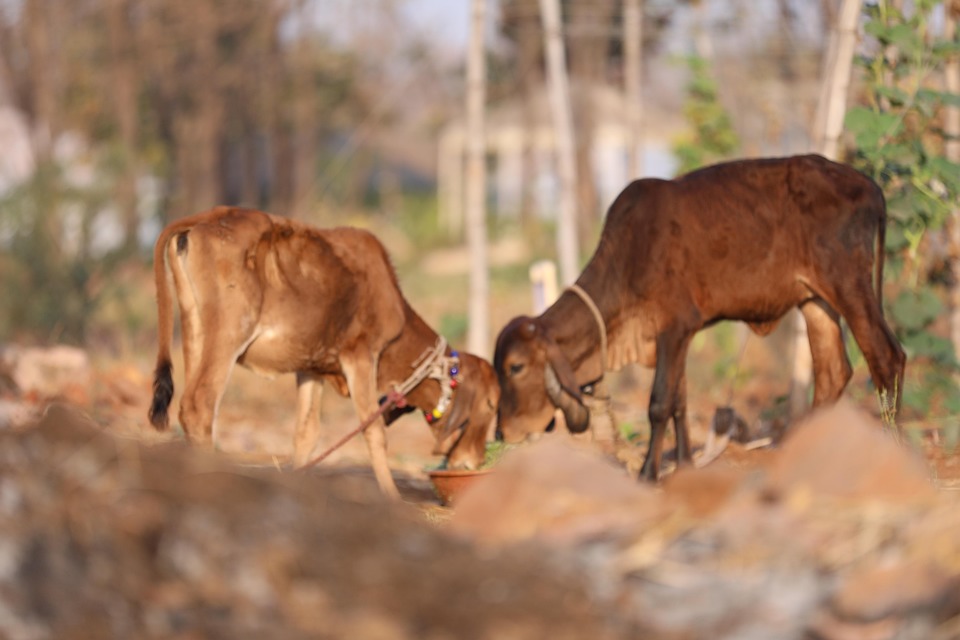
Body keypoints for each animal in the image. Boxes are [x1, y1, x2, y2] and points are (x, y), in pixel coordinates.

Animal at [148, 206, 500, 498]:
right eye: (491, 405)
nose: (475, 461)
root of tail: (207, 217)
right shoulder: (361, 356)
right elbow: (373, 431)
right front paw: (392, 497)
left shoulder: (310, 368)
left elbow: (306, 434)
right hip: (230, 332)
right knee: (200, 406)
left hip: (194, 330)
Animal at [494, 154, 906, 481]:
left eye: (515, 367)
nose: (502, 433)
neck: (628, 256)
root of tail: (868, 184)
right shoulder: (681, 333)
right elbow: (680, 399)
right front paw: (685, 465)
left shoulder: (674, 327)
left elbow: (660, 402)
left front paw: (648, 473)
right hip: (815, 300)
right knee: (833, 372)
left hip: (847, 283)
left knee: (887, 357)